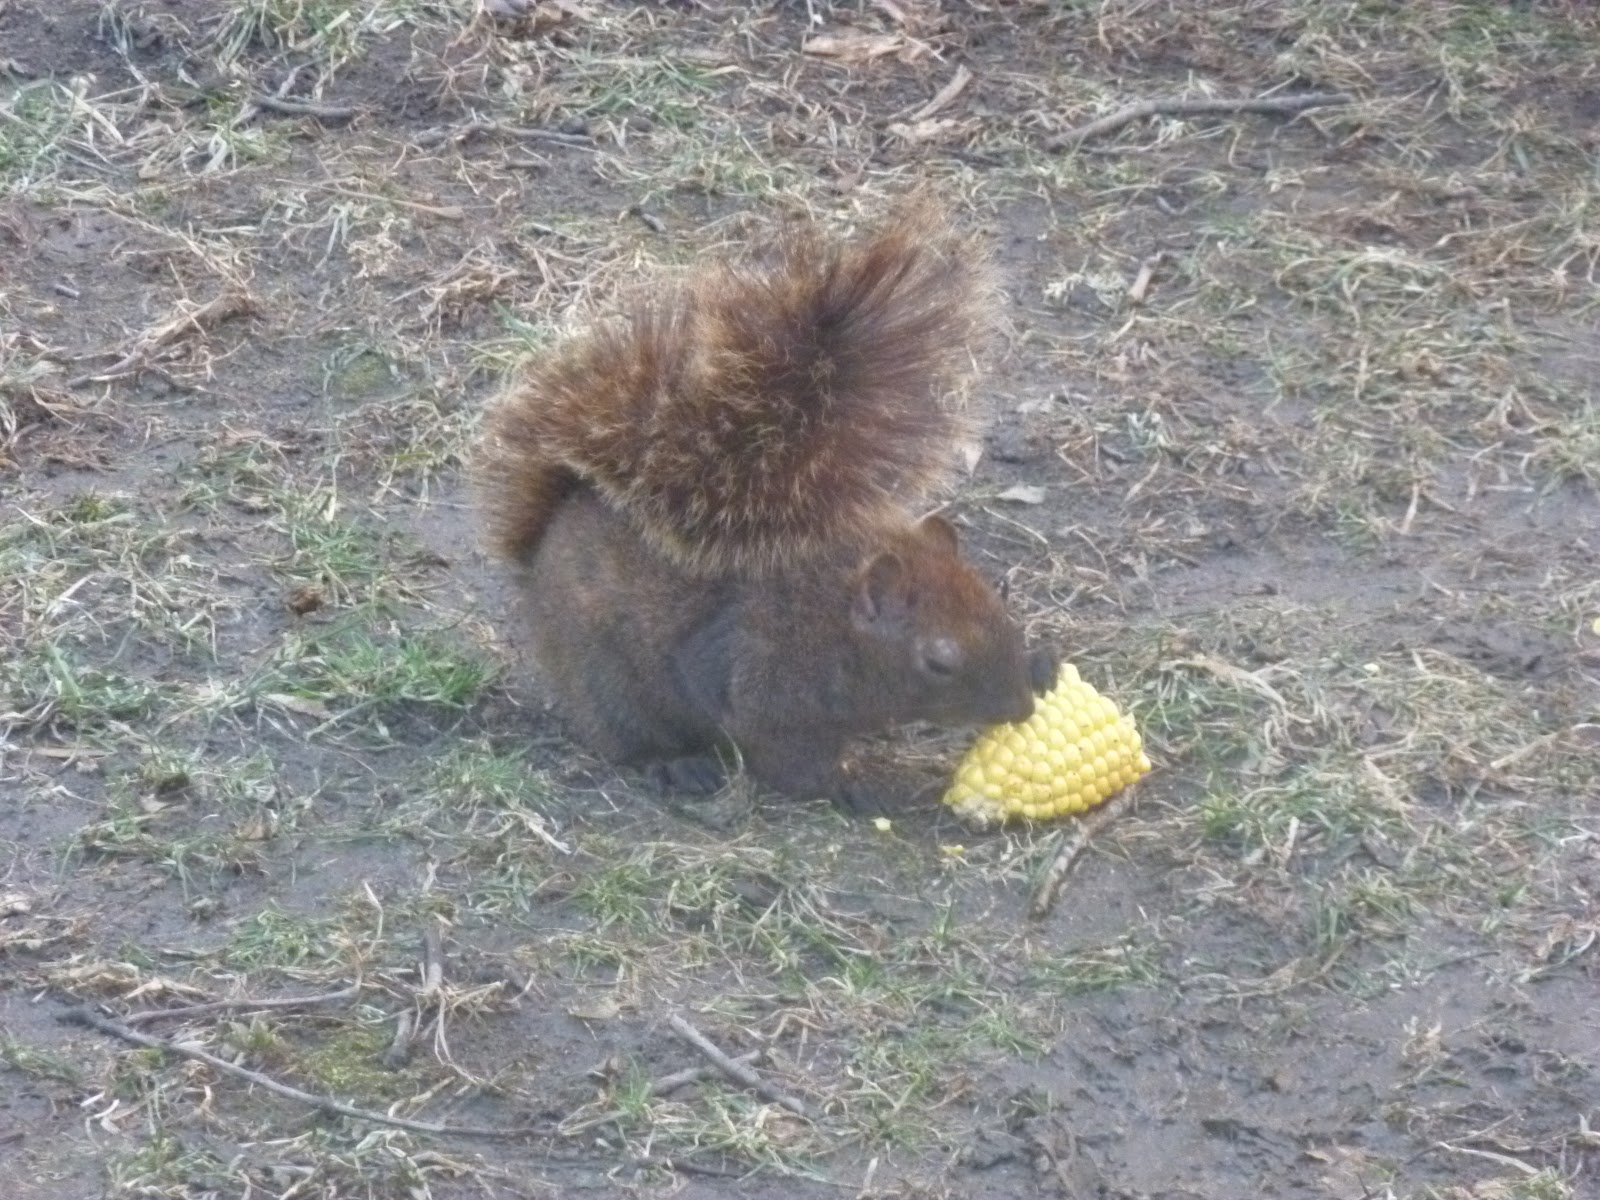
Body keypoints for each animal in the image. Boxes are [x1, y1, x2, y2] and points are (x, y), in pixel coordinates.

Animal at [475, 202, 1055, 808]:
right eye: (939, 662)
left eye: (1001, 611)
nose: (1021, 710)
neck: (836, 620)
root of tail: (540, 550)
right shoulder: (766, 683)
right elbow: (789, 763)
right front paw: (862, 787)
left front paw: (1042, 667)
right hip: (606, 683)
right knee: (626, 738)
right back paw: (677, 765)